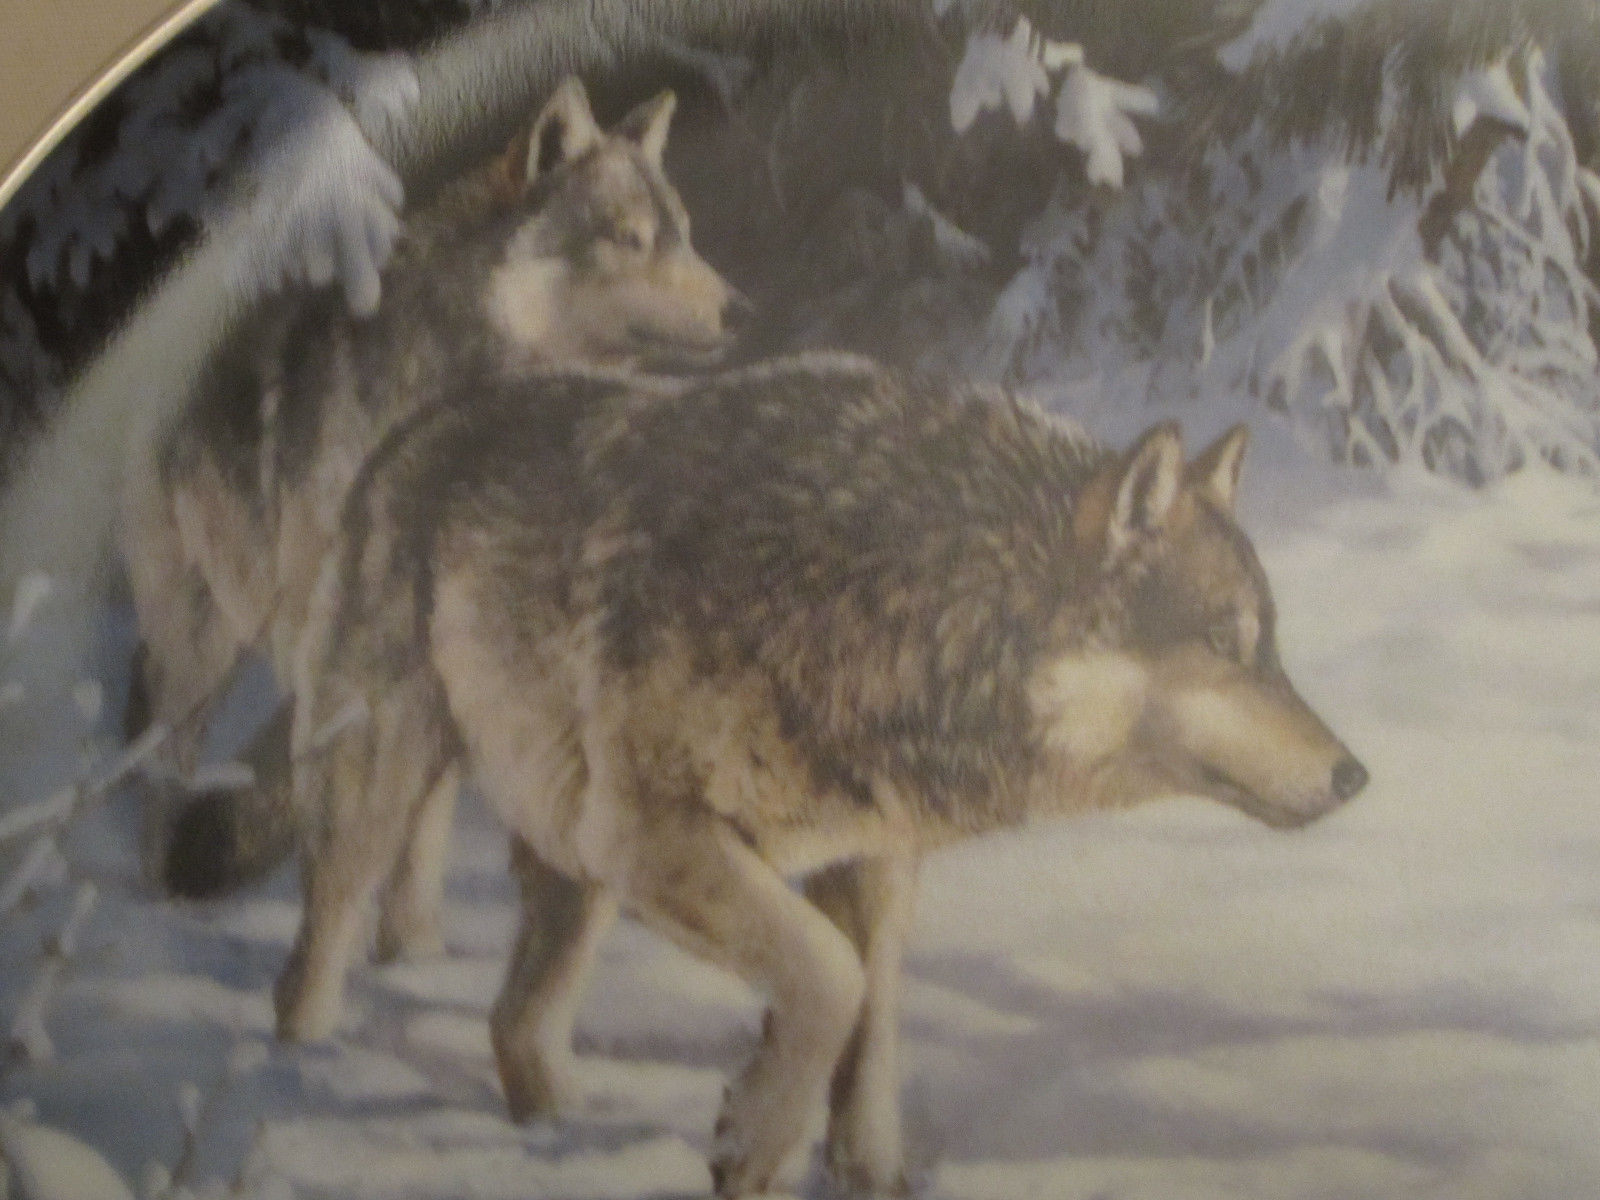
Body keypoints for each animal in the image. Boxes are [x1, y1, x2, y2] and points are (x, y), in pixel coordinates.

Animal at [120, 75, 746, 959]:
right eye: (629, 239)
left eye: (683, 237)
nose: (742, 312)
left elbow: (427, 822)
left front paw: (413, 957)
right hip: (201, 639)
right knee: (163, 755)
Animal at [283, 352, 1368, 1198]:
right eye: (1226, 643)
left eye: (1271, 646)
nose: (1355, 775)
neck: (894, 619)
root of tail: (422, 424)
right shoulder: (663, 839)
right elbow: (829, 978)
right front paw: (753, 1142)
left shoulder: (874, 863)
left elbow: (871, 1029)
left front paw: (866, 1176)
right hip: (404, 792)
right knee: (318, 947)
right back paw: (298, 1066)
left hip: (575, 861)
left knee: (513, 1023)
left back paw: (559, 1138)